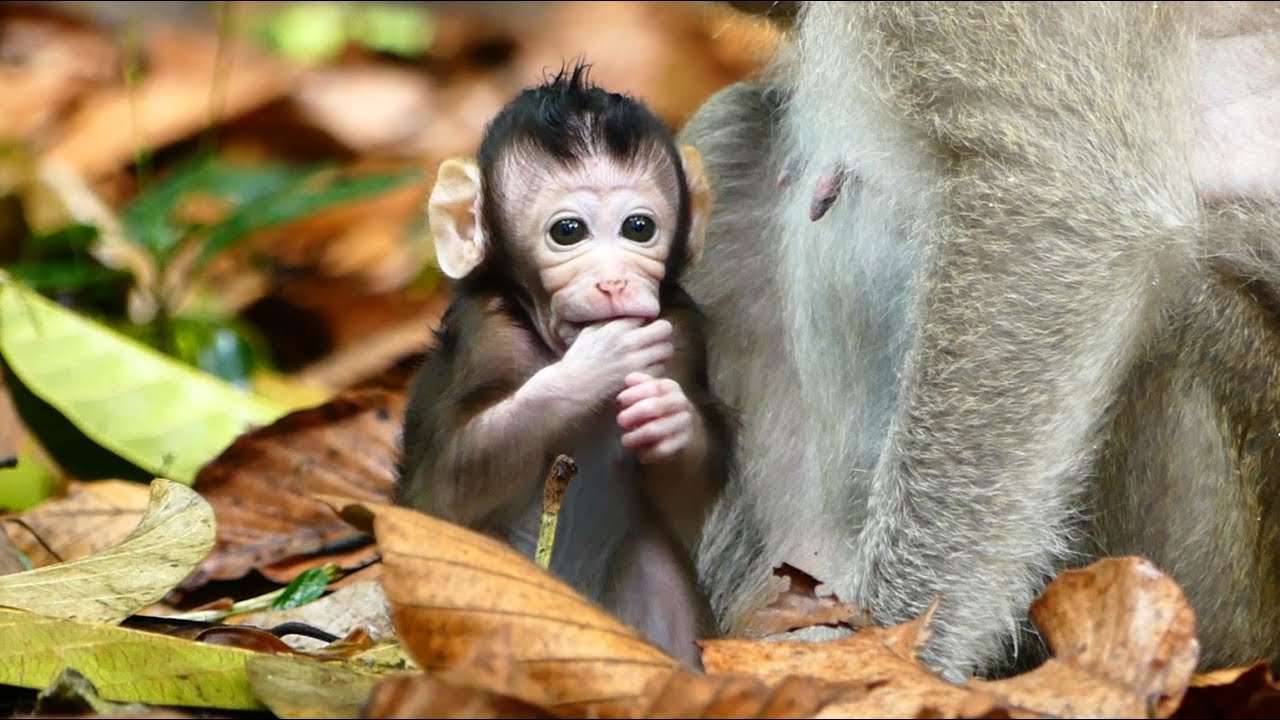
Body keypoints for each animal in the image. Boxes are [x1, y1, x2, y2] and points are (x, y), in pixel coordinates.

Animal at [395, 62, 733, 669]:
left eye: (639, 228)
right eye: (568, 232)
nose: (614, 281)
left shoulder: (683, 331)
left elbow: (685, 502)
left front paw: (668, 416)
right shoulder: (487, 333)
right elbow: (449, 483)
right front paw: (595, 364)